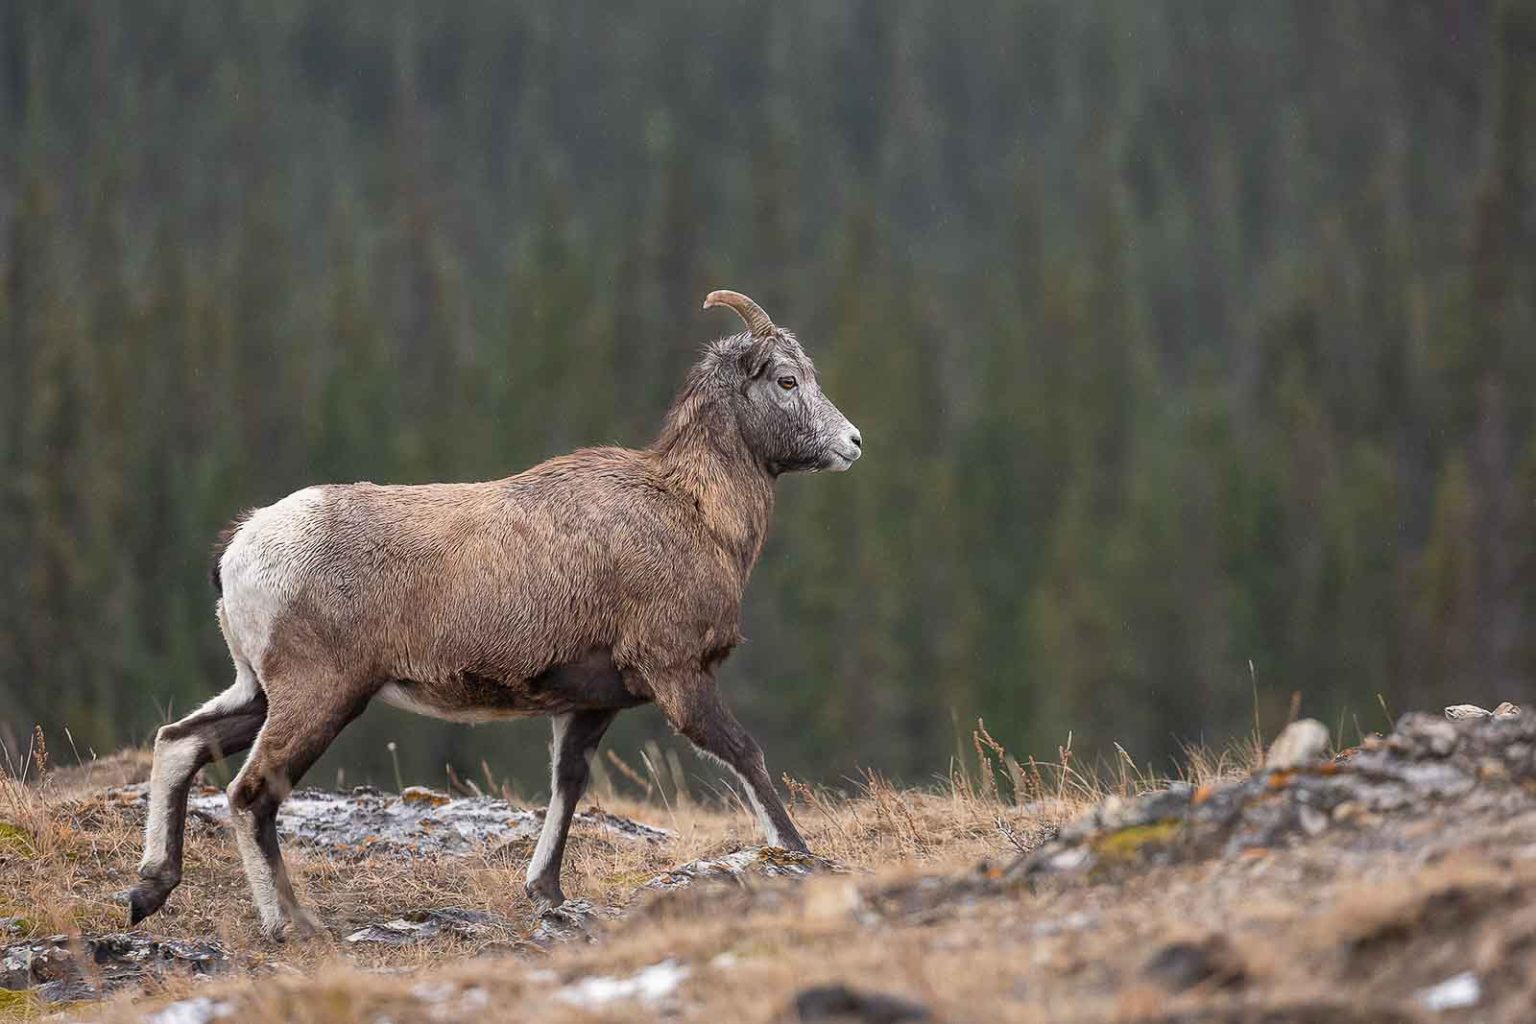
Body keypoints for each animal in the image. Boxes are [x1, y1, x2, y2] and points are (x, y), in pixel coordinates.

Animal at [129, 290, 863, 939]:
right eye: (788, 380)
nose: (853, 442)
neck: (697, 511)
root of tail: (241, 547)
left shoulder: (589, 704)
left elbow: (568, 785)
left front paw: (547, 893)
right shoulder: (678, 675)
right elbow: (744, 754)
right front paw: (799, 853)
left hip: (260, 692)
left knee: (179, 741)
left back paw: (147, 892)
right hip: (320, 696)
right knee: (251, 794)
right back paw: (291, 925)